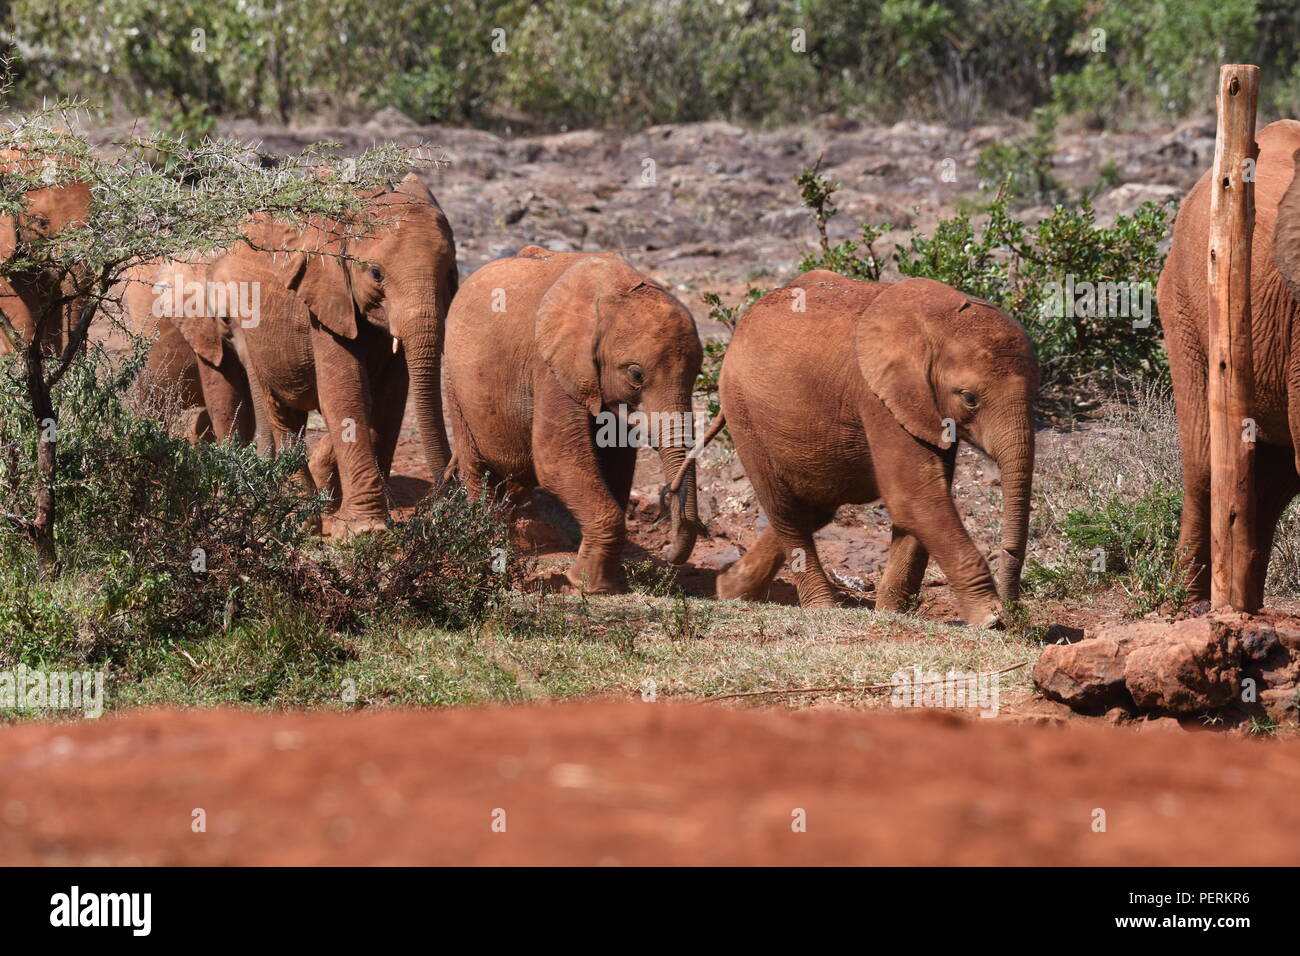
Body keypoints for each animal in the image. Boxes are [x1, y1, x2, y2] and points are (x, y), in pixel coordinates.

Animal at [444, 247, 704, 593]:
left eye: (697, 374)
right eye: (636, 374)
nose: (668, 552)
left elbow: (616, 462)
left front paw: (600, 583)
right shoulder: (553, 367)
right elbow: (557, 460)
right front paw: (588, 585)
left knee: (512, 486)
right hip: (454, 386)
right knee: (477, 472)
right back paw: (491, 565)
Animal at [710, 271, 1038, 627]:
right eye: (969, 398)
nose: (1014, 611)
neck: (935, 324)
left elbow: (920, 503)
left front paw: (891, 614)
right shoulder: (878, 397)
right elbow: (914, 496)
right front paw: (990, 620)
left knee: (815, 508)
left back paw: (730, 590)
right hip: (743, 412)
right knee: (787, 512)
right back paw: (821, 608)